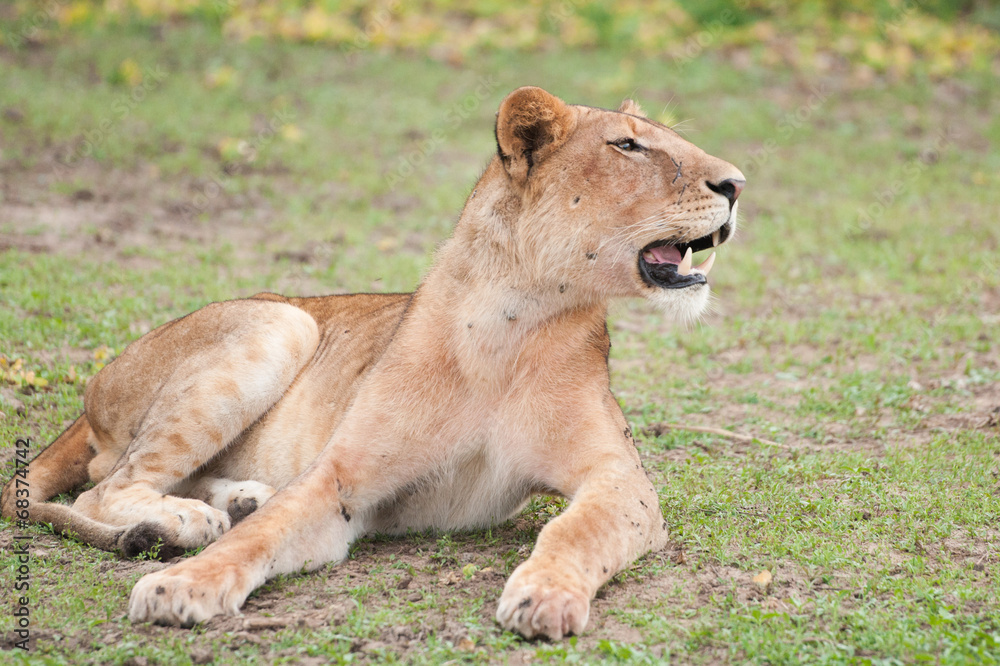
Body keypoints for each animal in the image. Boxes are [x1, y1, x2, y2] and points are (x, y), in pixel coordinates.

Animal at [1, 86, 744, 640]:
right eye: (629, 145)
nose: (737, 183)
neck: (510, 324)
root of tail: (89, 399)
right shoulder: (343, 481)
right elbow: (259, 538)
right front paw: (180, 584)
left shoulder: (619, 479)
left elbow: (576, 530)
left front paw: (545, 596)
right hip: (282, 321)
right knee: (105, 486)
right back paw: (188, 522)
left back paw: (234, 498)